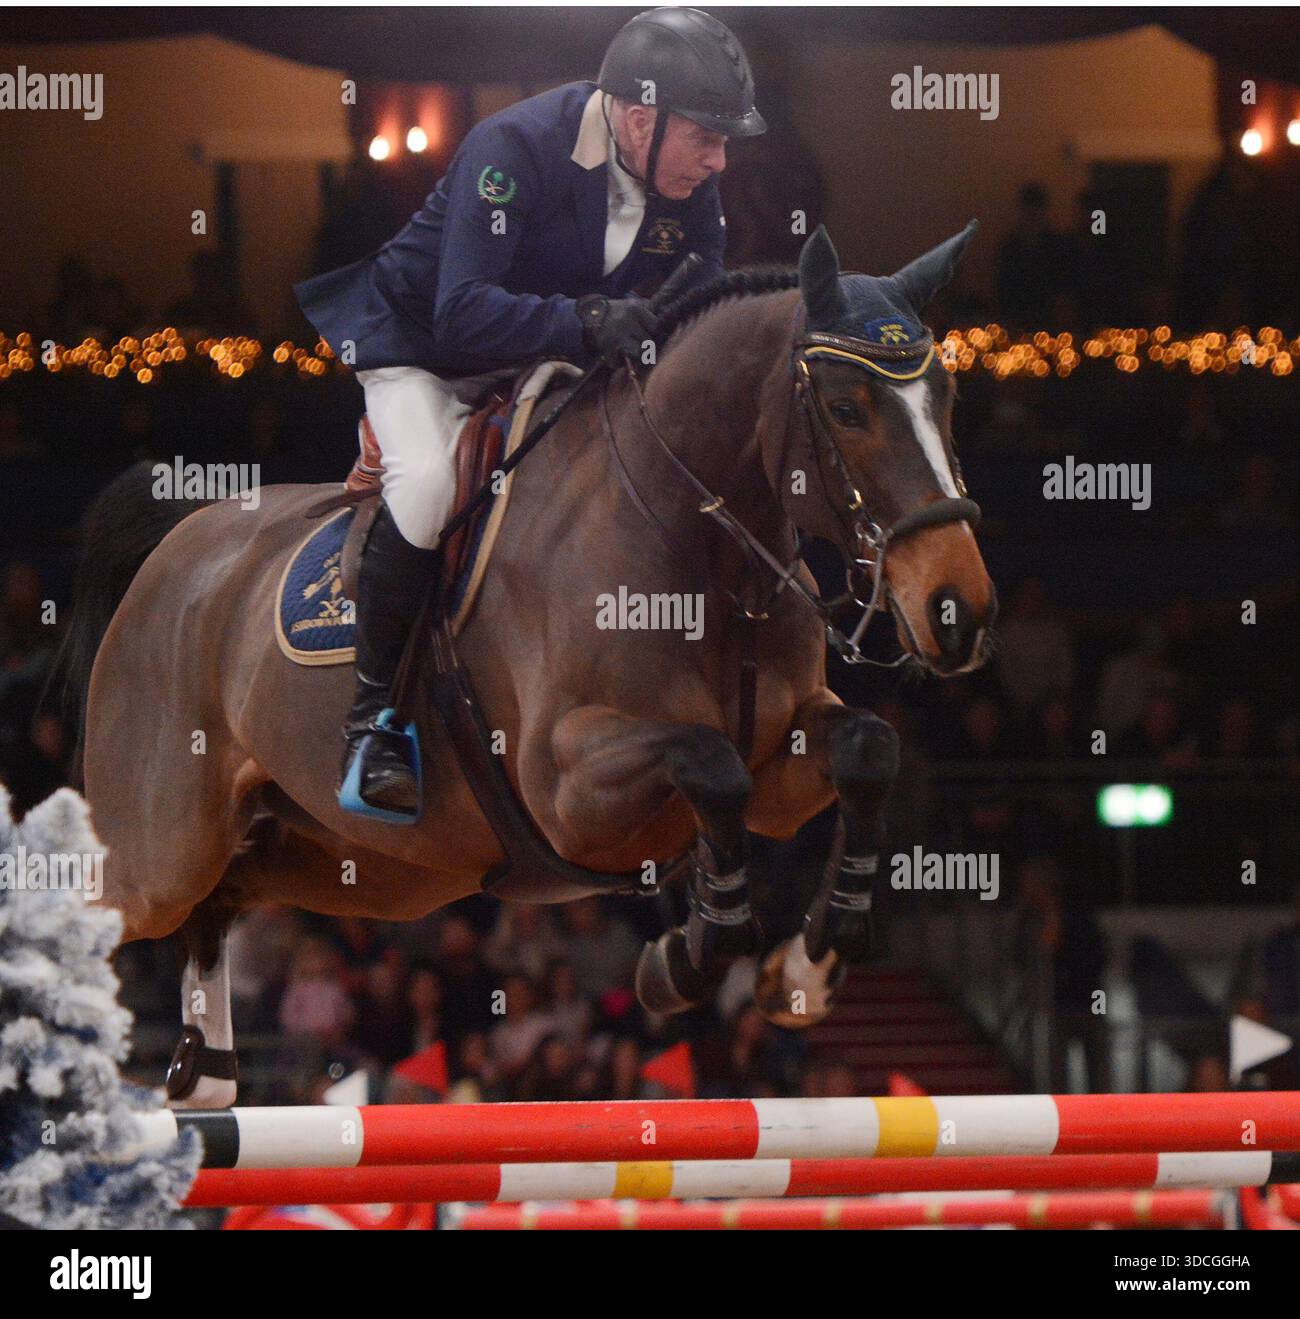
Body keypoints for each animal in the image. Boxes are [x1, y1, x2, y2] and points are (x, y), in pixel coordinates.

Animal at [56, 224, 995, 1107]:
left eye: (947, 396)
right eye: (845, 407)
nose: (958, 610)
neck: (696, 544)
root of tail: (178, 544)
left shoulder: (782, 767)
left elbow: (866, 748)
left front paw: (804, 966)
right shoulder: (566, 787)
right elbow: (710, 764)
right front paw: (692, 951)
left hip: (363, 868)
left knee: (224, 898)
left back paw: (205, 1070)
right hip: (159, 852)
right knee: (96, 897)